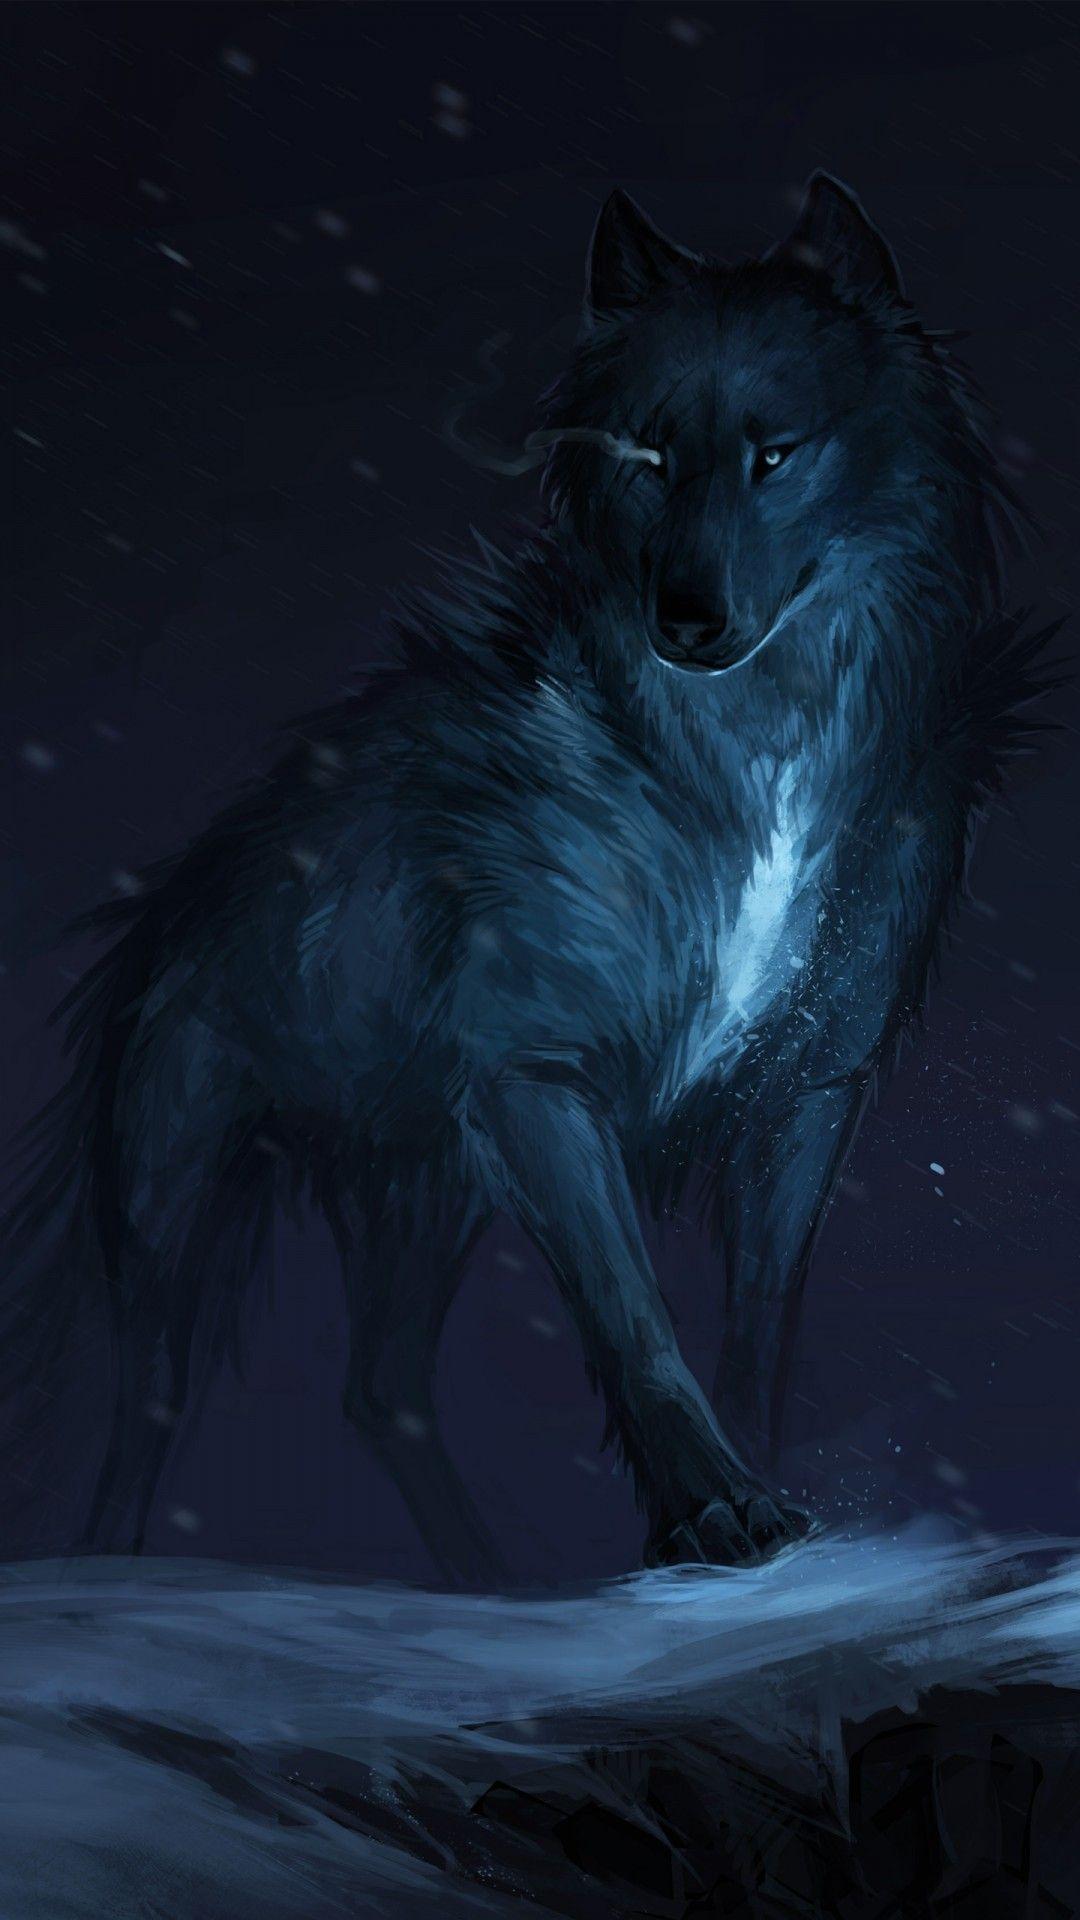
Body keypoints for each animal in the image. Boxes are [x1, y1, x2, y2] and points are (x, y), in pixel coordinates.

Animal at [1, 173, 1058, 1583]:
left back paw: (490, 1583)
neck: (754, 758)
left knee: (379, 1388)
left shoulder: (807, 1098)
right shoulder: (542, 1083)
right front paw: (714, 1513)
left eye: (775, 454)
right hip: (186, 1211)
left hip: (424, 1194)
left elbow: (758, 1335)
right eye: (649, 459)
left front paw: (765, 1494)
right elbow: (637, 1322)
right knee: (151, 1415)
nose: (685, 620)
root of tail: (162, 896)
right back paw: (128, 1566)